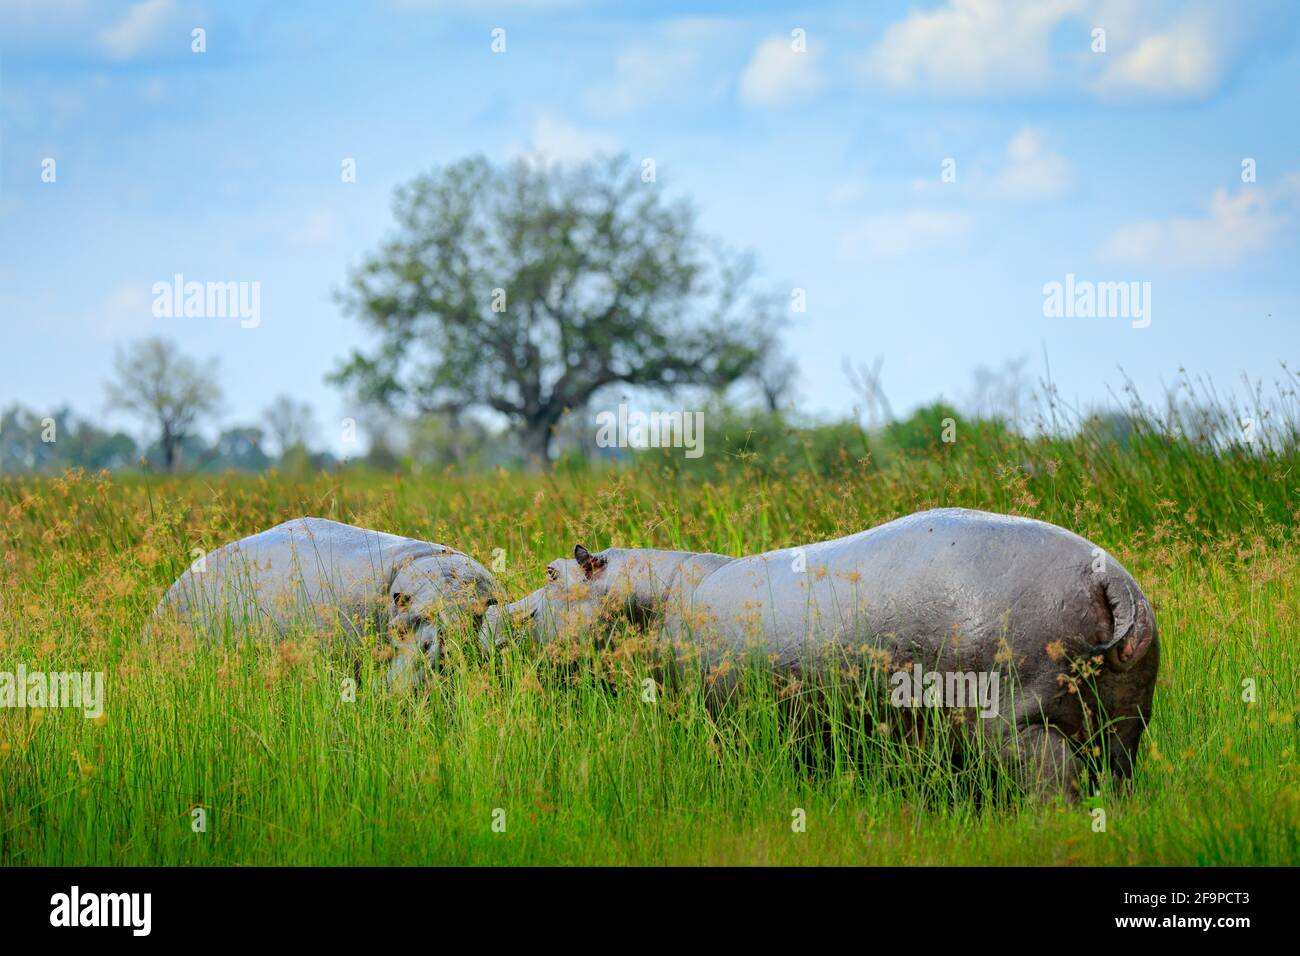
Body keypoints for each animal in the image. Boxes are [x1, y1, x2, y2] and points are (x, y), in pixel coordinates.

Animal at [482, 508, 1158, 798]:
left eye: (549, 572)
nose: (490, 613)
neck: (657, 594)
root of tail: (1113, 583)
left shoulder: (718, 723)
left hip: (1015, 724)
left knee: (1052, 783)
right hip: (1125, 725)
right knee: (1114, 778)